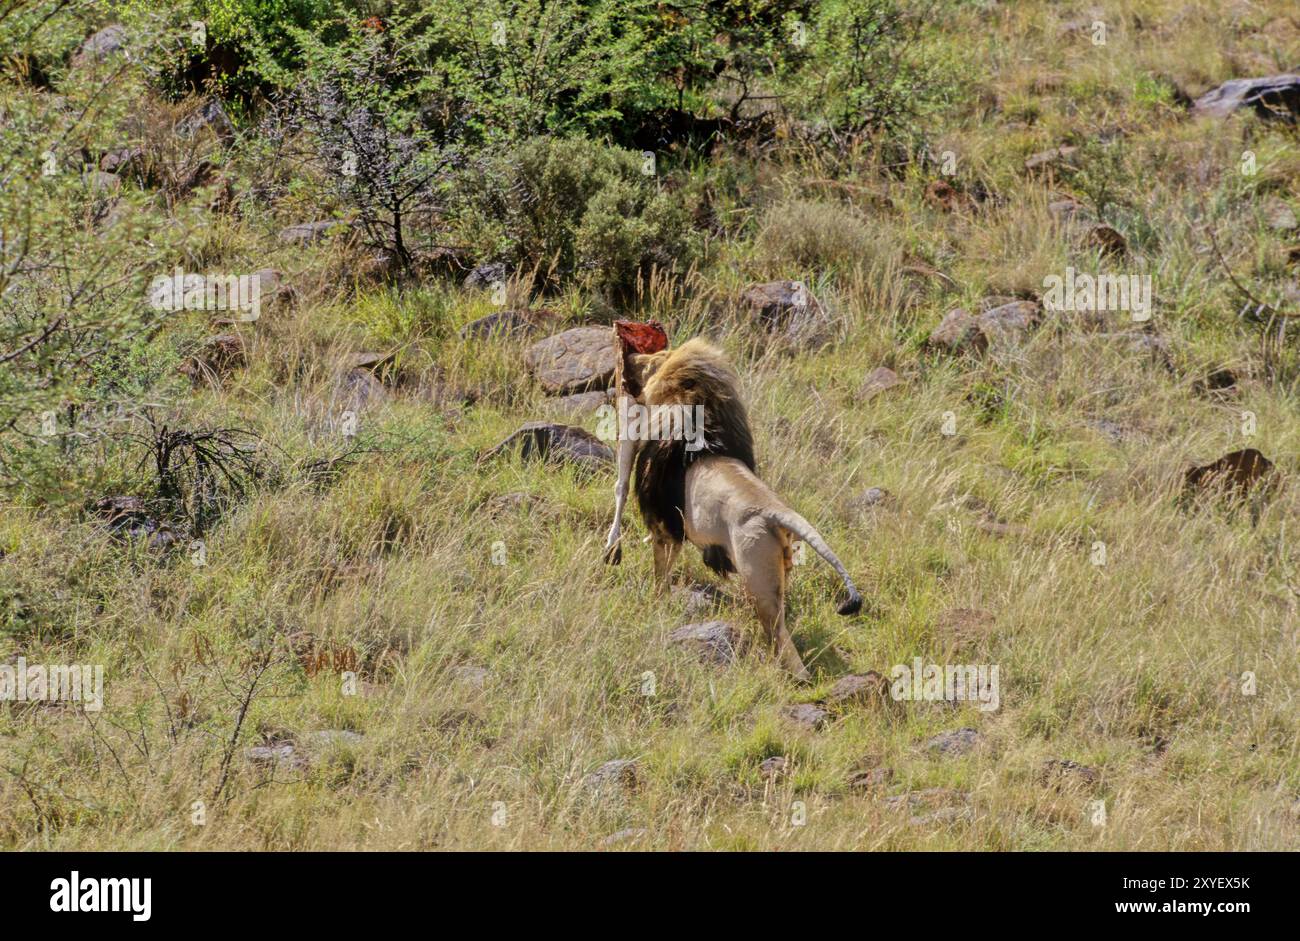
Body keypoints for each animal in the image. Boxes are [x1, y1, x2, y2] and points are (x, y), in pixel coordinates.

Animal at [603, 332, 862, 680]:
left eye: (654, 360)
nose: (627, 358)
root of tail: (777, 512)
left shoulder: (665, 528)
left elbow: (660, 574)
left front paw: (656, 603)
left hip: (758, 582)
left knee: (781, 639)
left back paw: (792, 677)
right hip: (777, 577)